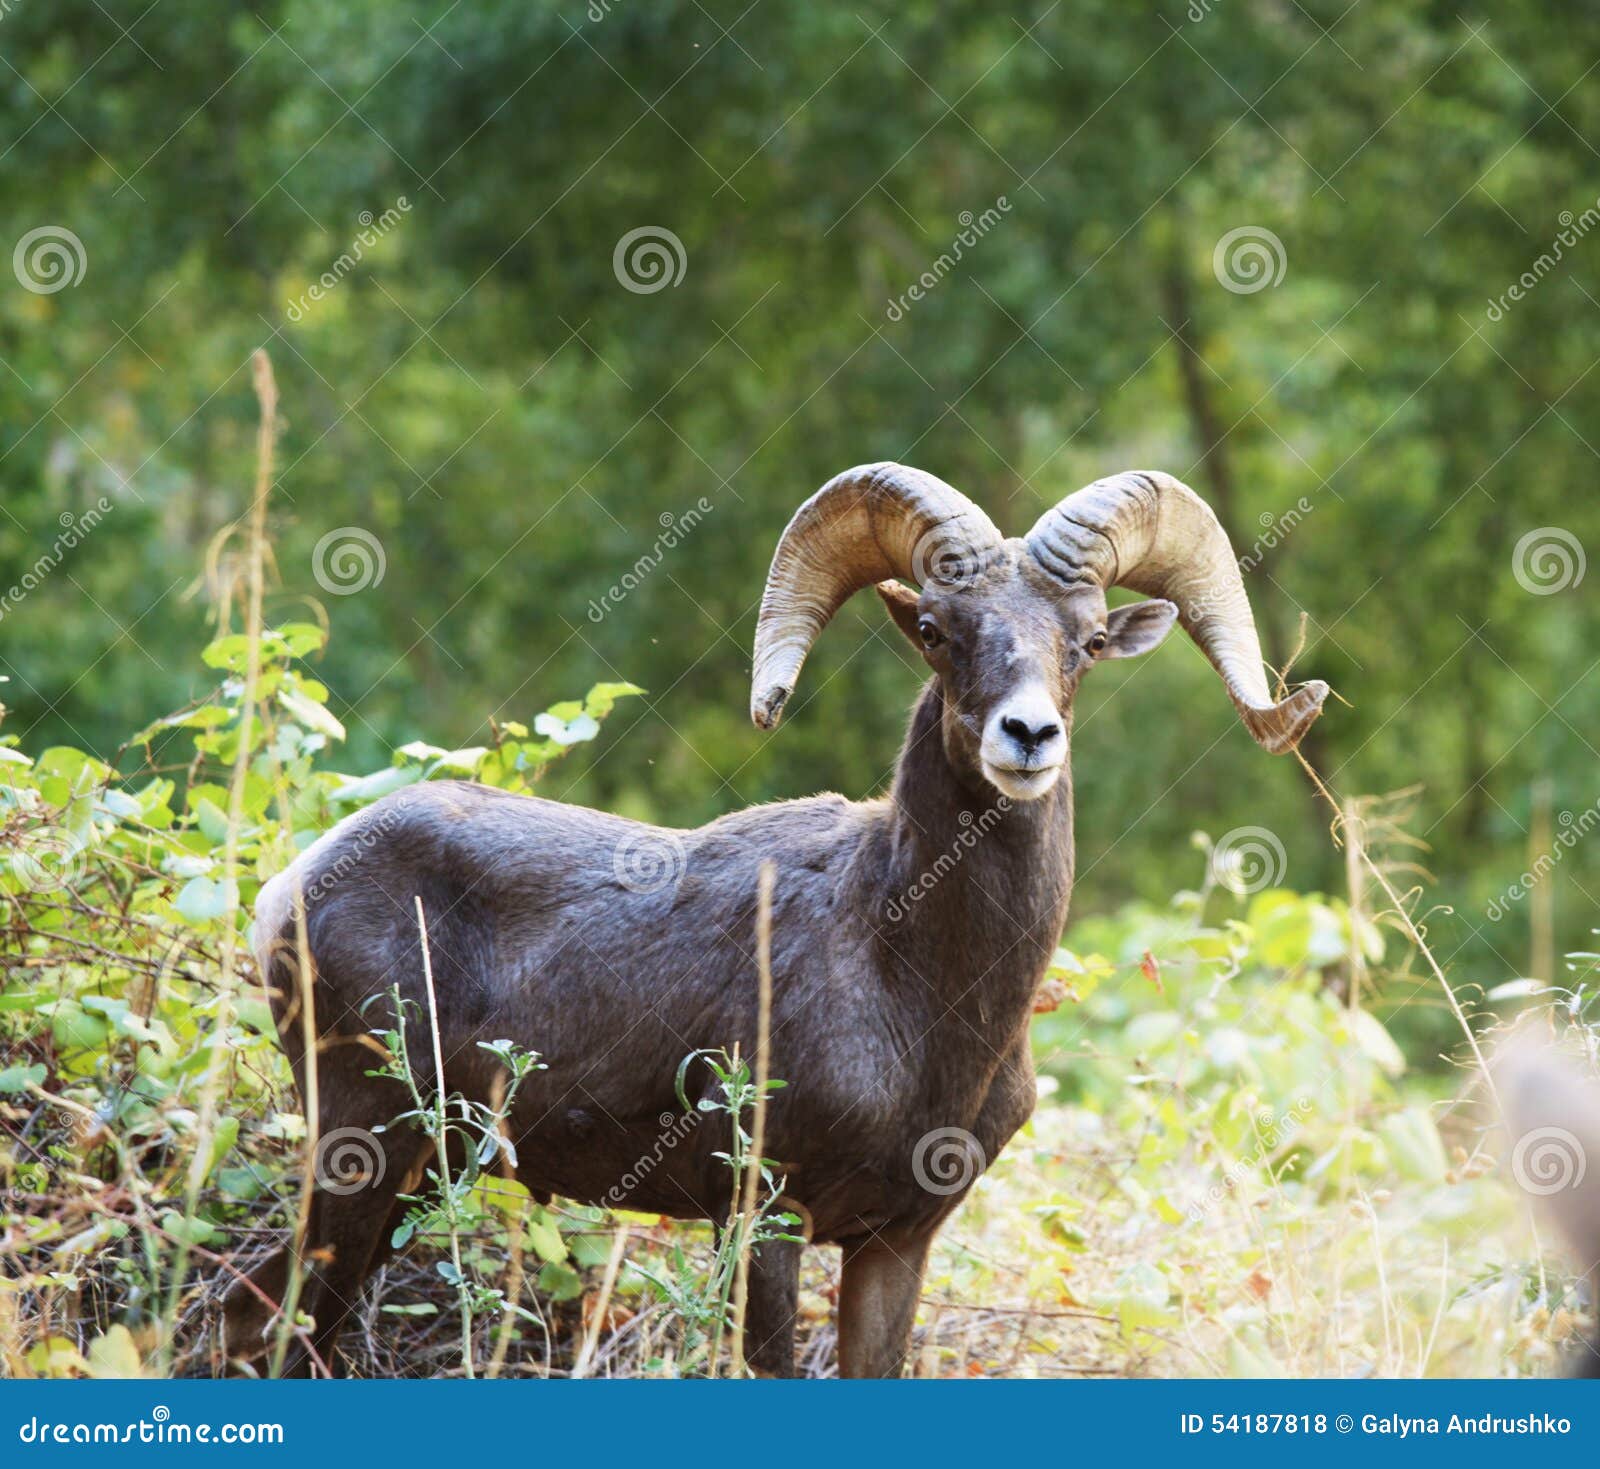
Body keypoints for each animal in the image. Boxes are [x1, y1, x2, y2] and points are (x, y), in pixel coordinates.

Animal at [231, 462, 1327, 1377]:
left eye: (1091, 641)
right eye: (939, 630)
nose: (1027, 736)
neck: (917, 987)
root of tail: (296, 883)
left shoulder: (896, 1241)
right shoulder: (766, 1216)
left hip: (413, 1175)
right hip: (361, 1155)